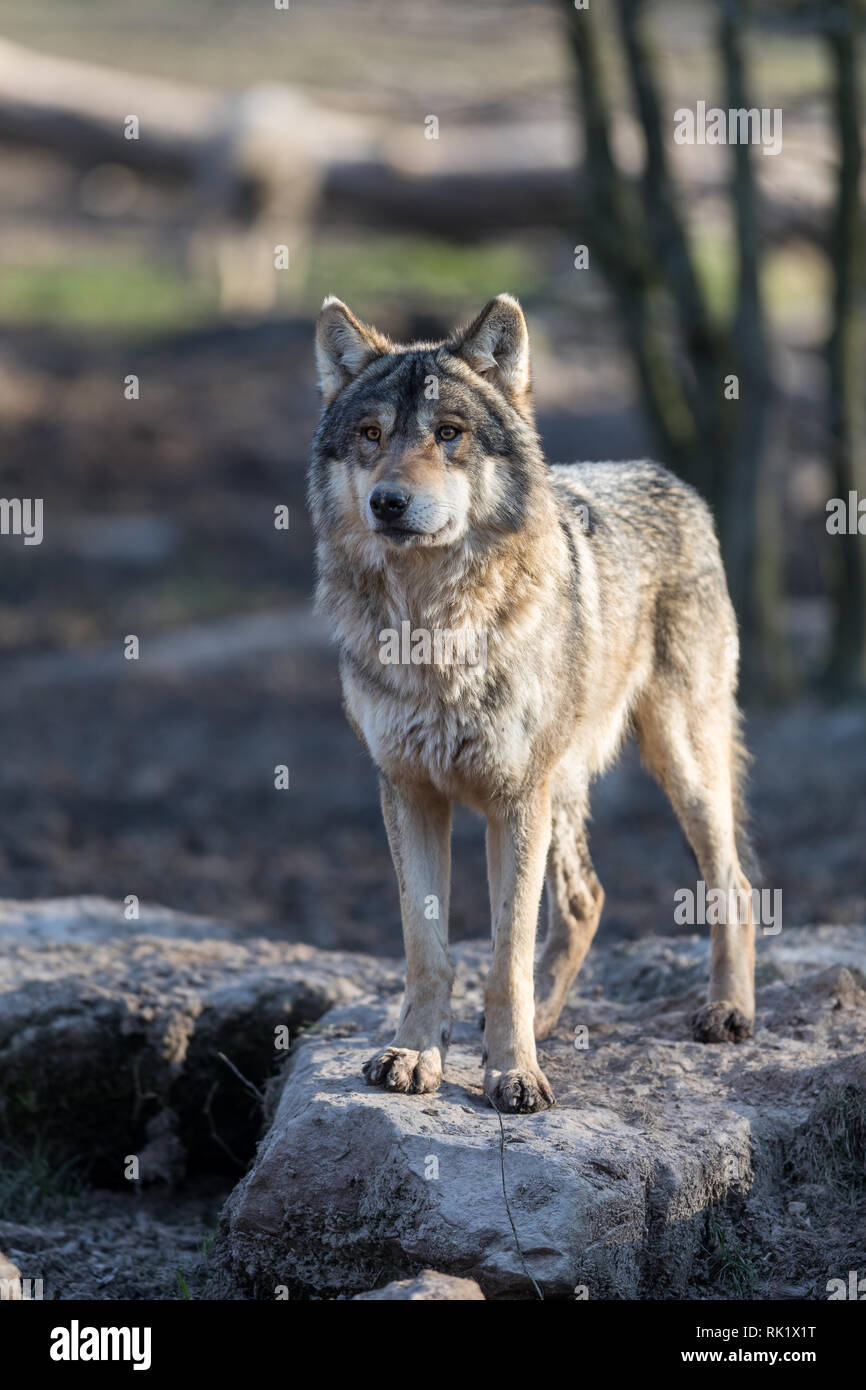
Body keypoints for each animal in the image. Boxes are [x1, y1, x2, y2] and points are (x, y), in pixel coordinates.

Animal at [309, 293, 756, 1114]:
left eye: (448, 434)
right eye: (371, 435)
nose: (389, 502)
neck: (434, 632)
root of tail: (662, 473)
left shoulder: (516, 797)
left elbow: (506, 953)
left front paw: (513, 1072)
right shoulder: (410, 792)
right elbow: (428, 950)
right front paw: (417, 1054)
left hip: (678, 763)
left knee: (732, 883)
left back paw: (727, 1011)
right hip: (568, 785)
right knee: (586, 899)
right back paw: (540, 1022)